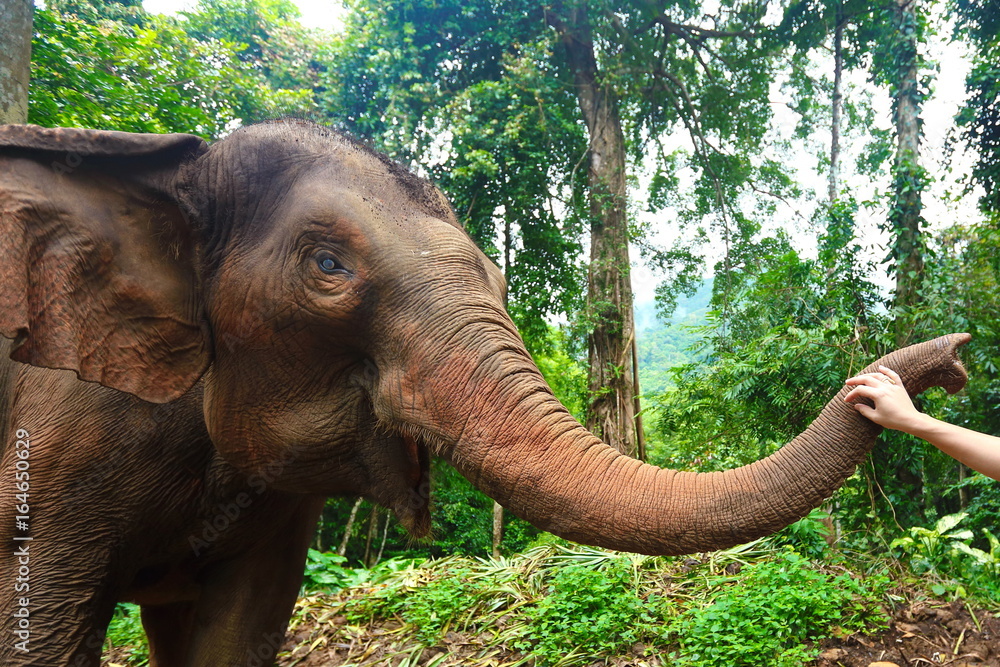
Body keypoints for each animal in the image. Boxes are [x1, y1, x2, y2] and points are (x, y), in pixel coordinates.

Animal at [0, 119, 970, 666]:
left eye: (501, 277)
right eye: (328, 266)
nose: (955, 355)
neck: (170, 174)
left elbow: (236, 636)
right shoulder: (55, 450)